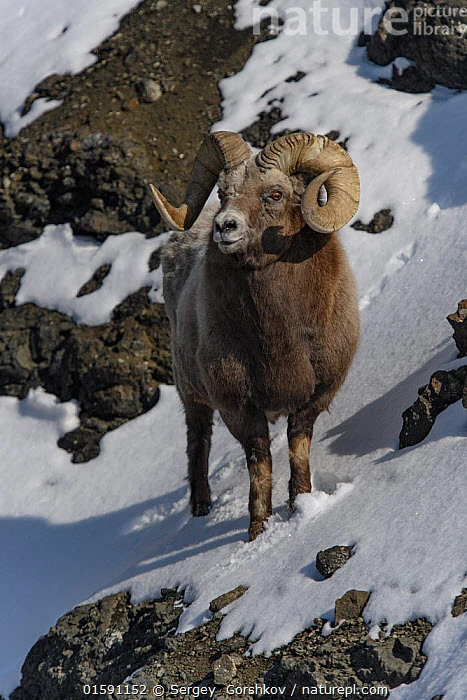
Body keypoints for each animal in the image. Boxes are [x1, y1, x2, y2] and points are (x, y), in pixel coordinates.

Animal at [149, 131, 360, 540]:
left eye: (275, 194)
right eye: (222, 193)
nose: (225, 227)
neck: (278, 338)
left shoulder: (315, 395)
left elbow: (297, 447)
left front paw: (300, 503)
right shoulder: (238, 408)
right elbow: (259, 464)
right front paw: (258, 529)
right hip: (191, 395)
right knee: (197, 442)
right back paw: (201, 508)